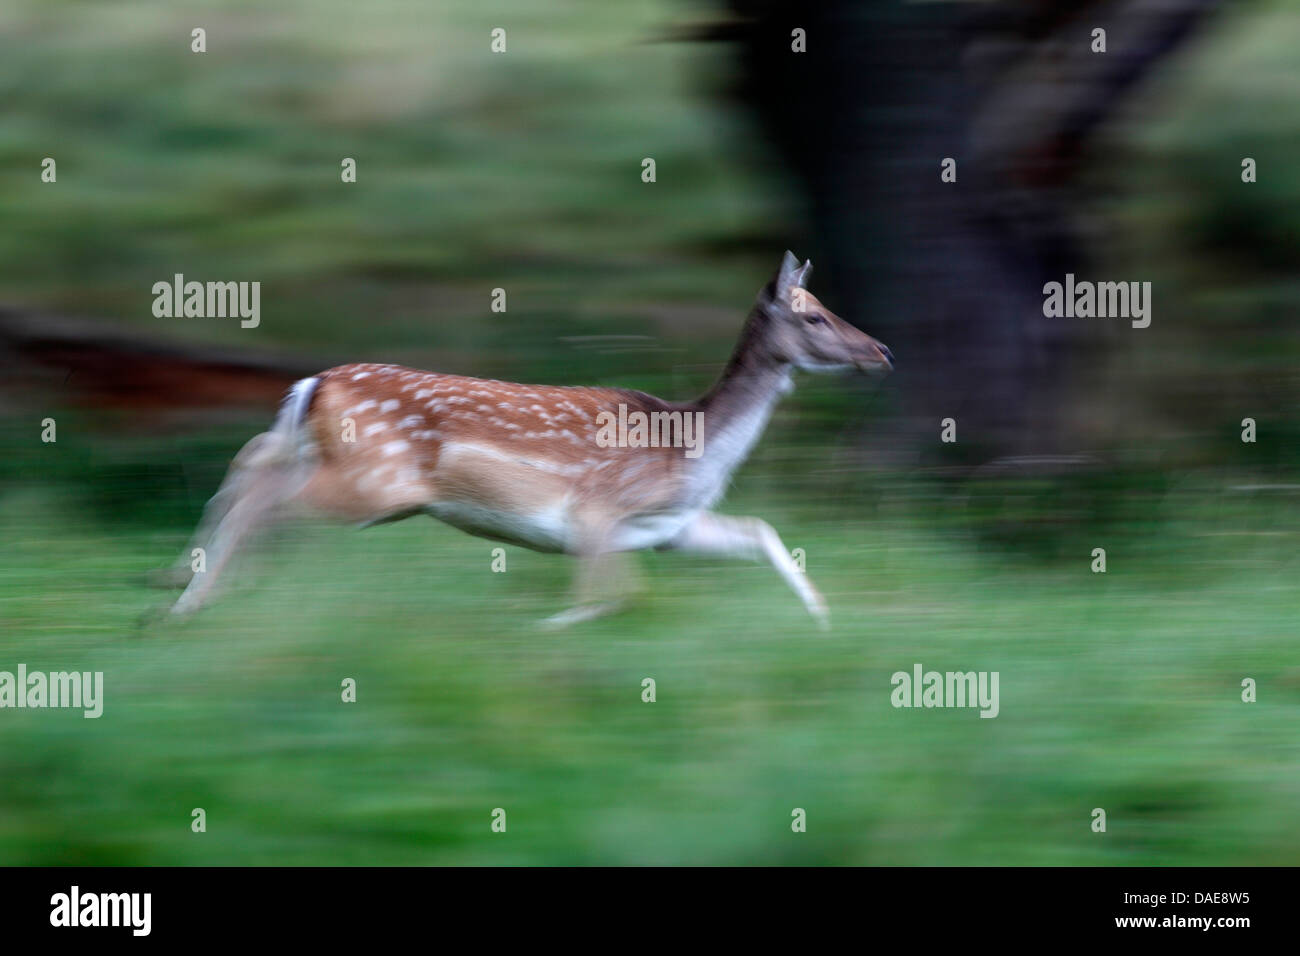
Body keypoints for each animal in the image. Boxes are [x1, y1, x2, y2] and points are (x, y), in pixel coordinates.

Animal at [165, 252, 893, 628]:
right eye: (814, 316)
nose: (882, 350)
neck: (693, 449)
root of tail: (315, 382)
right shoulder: (599, 508)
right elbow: (613, 595)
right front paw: (541, 635)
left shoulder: (672, 528)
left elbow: (759, 531)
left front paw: (823, 617)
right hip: (374, 482)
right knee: (262, 498)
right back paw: (186, 605)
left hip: (331, 463)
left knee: (251, 469)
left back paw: (182, 591)